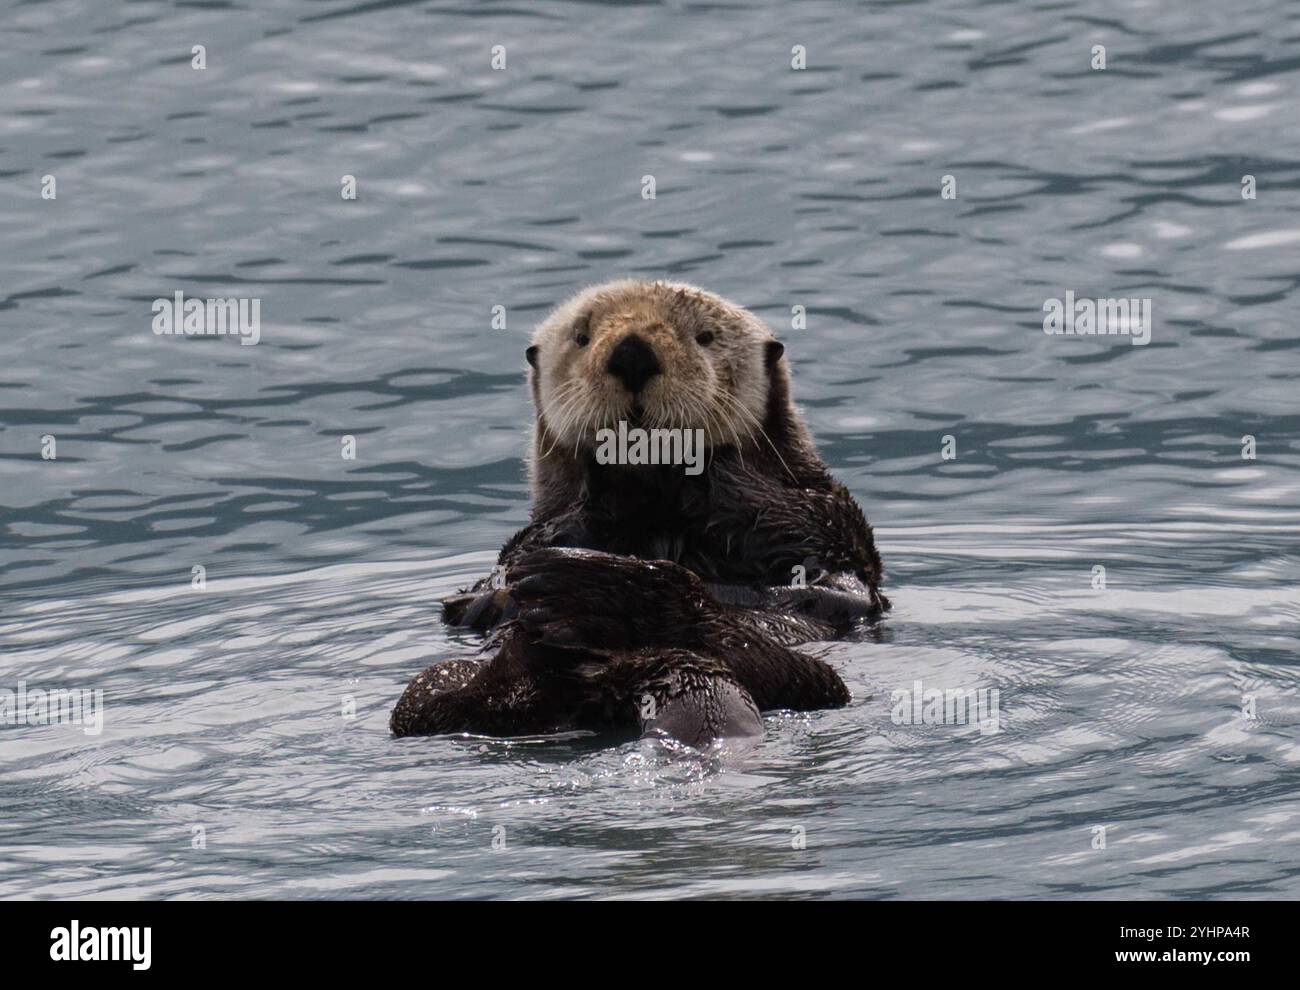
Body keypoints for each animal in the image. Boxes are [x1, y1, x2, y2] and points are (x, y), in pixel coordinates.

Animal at [391, 280, 889, 747]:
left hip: (797, 674)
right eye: (581, 337)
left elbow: (832, 584)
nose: (632, 354)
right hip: (439, 684)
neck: (658, 519)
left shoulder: (827, 526)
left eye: (705, 336)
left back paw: (600, 592)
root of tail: (633, 667)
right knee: (431, 703)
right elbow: (496, 580)